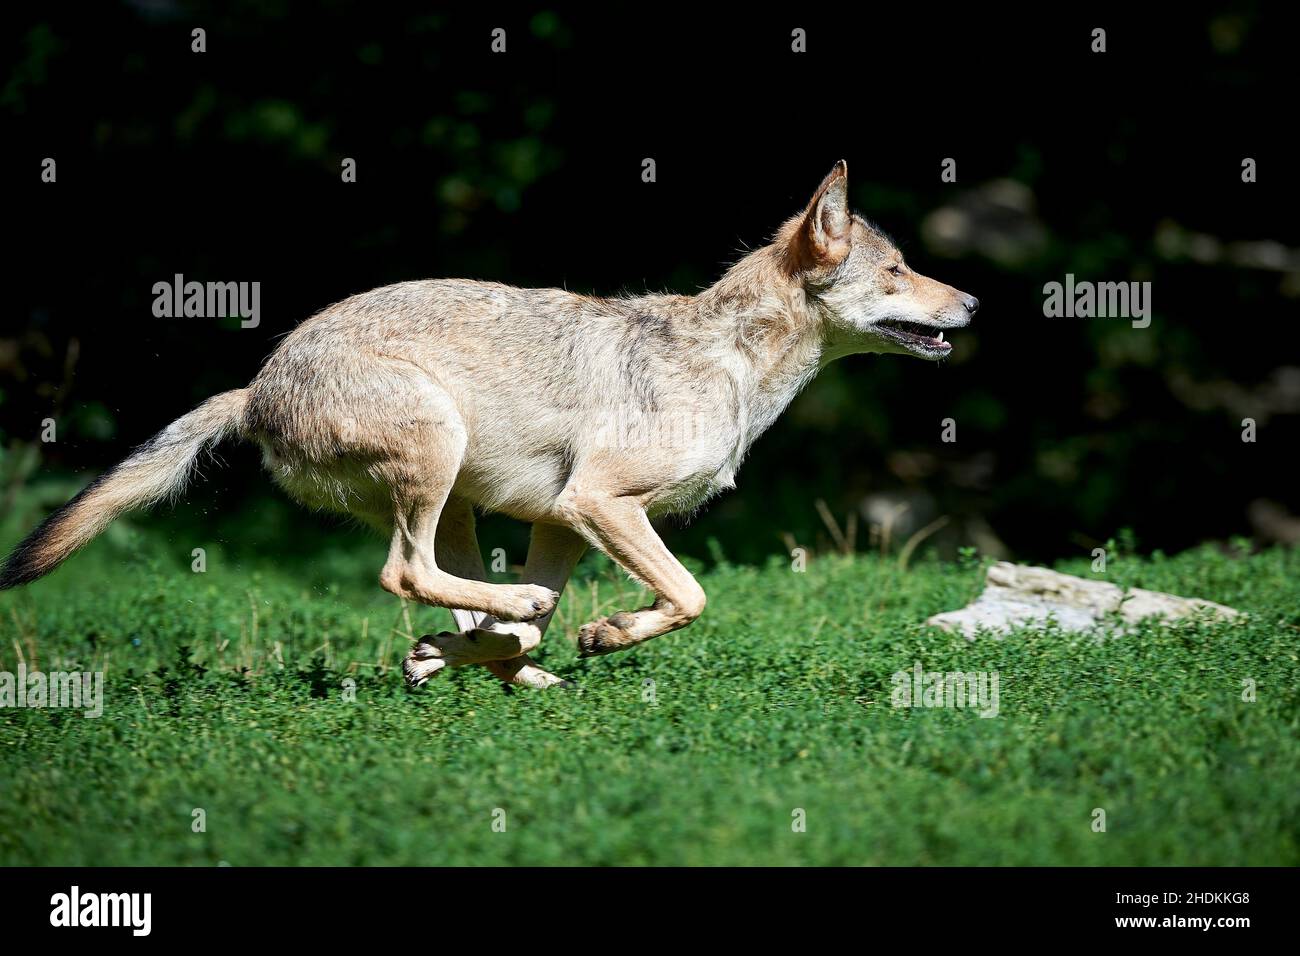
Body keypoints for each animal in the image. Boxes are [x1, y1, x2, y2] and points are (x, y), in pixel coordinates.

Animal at [1, 162, 977, 689]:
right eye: (898, 269)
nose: (973, 302)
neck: (728, 362)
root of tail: (256, 385)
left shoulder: (565, 523)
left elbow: (573, 618)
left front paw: (487, 653)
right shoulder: (601, 505)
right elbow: (693, 596)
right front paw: (603, 634)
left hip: (462, 504)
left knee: (458, 595)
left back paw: (486, 651)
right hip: (439, 455)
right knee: (407, 574)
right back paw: (501, 631)